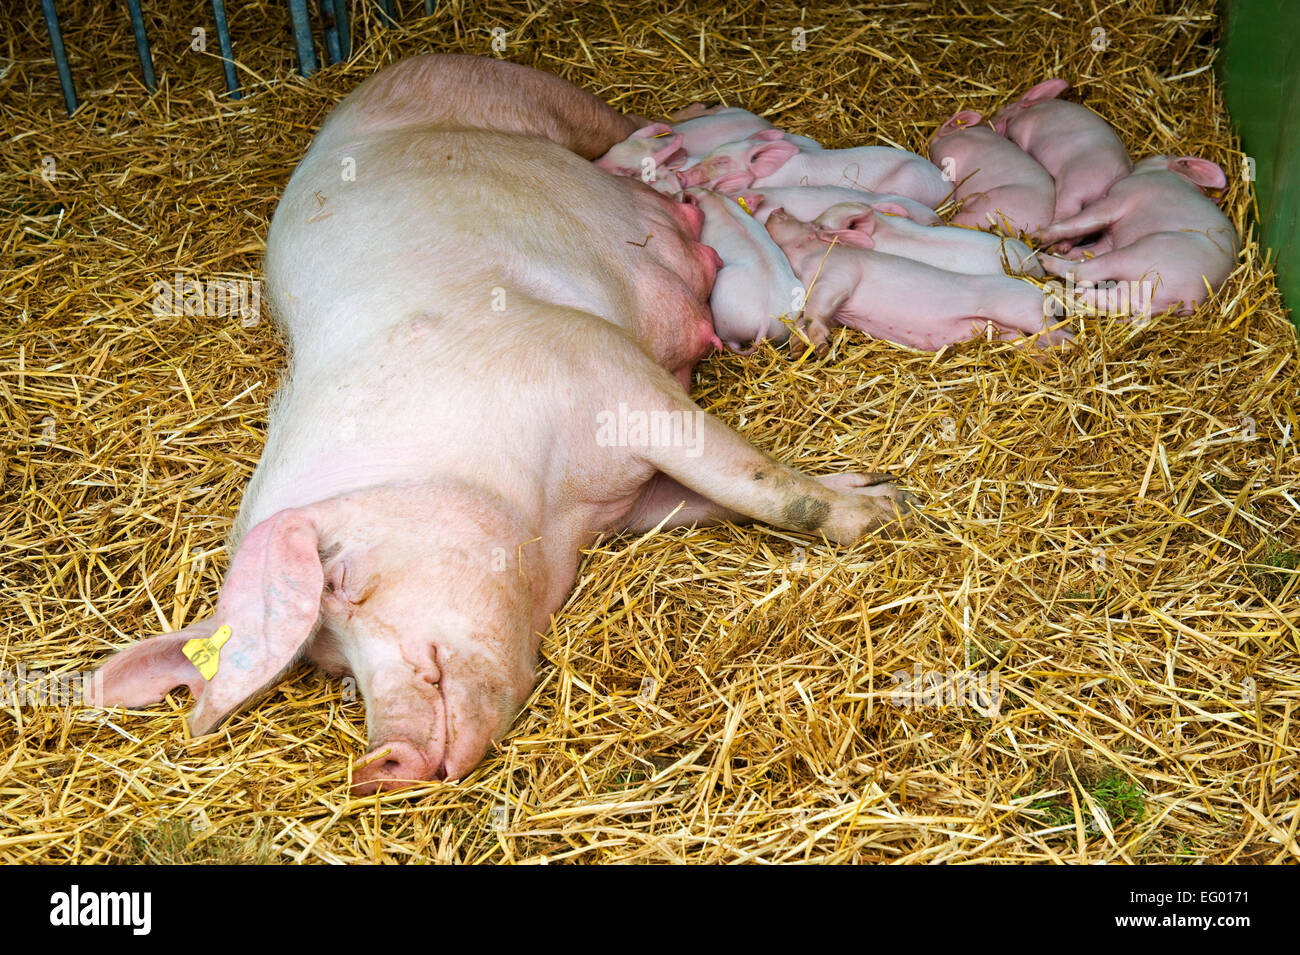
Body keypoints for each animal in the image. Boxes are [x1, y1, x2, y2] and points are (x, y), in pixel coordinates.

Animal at [765, 210, 1068, 355]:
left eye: (812, 226)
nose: (775, 210)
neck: (805, 260)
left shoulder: (841, 273)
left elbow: (816, 307)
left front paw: (821, 346)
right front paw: (797, 349)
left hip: (1022, 310)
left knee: (1062, 332)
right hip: (1007, 332)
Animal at [990, 79, 1132, 224]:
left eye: (1005, 107)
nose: (990, 120)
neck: (1022, 112)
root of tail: (1122, 171)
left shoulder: (1020, 130)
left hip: (1076, 183)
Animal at [1033, 156, 1238, 316]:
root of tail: (1191, 297)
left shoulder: (1119, 198)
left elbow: (1083, 222)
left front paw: (1036, 237)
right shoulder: (1110, 239)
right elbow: (1090, 249)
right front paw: (1058, 248)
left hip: (1141, 253)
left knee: (1085, 272)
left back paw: (1044, 260)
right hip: (1143, 290)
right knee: (1118, 299)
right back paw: (1076, 291)